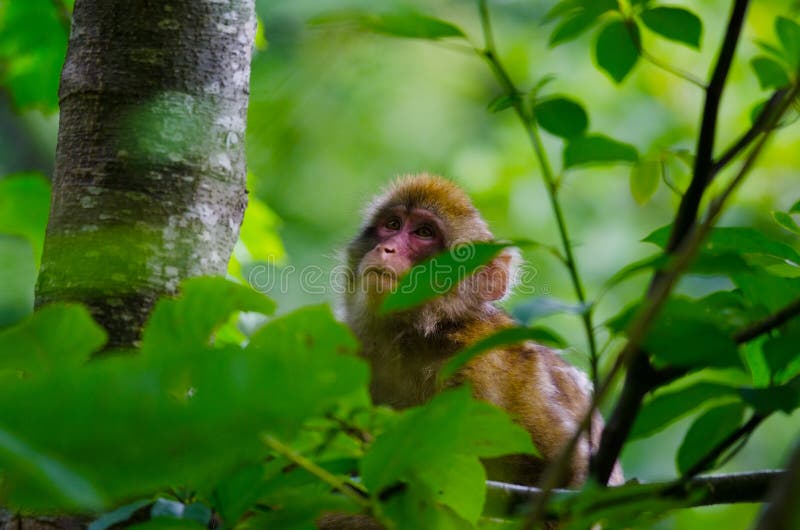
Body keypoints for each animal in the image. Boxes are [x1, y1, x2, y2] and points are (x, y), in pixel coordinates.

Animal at [342, 173, 624, 490]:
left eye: (424, 232)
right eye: (392, 225)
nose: (386, 248)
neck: (418, 335)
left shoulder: (488, 365)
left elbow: (566, 464)